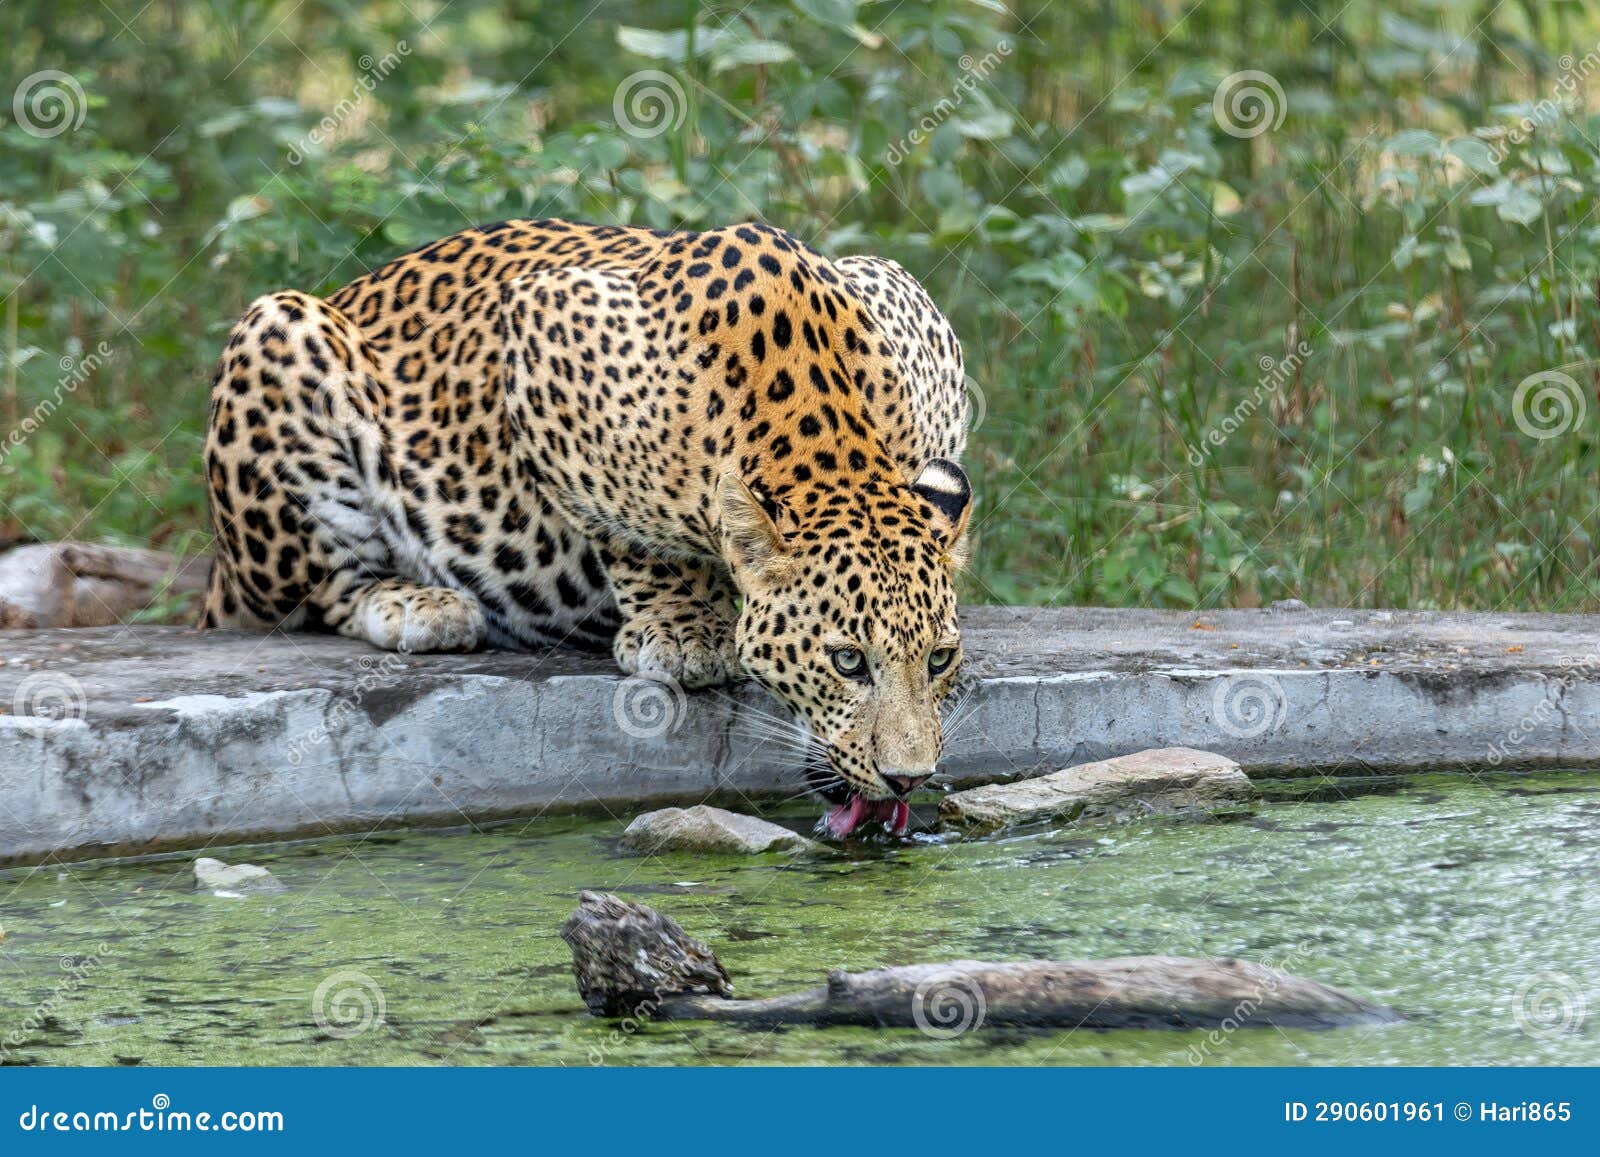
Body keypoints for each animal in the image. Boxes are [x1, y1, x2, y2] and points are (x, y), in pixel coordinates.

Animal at [200, 219, 972, 836]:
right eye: (847, 661)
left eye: (939, 659)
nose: (909, 778)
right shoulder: (540, 327)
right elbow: (621, 530)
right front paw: (683, 628)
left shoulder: (912, 307)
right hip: (278, 336)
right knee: (322, 589)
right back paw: (419, 605)